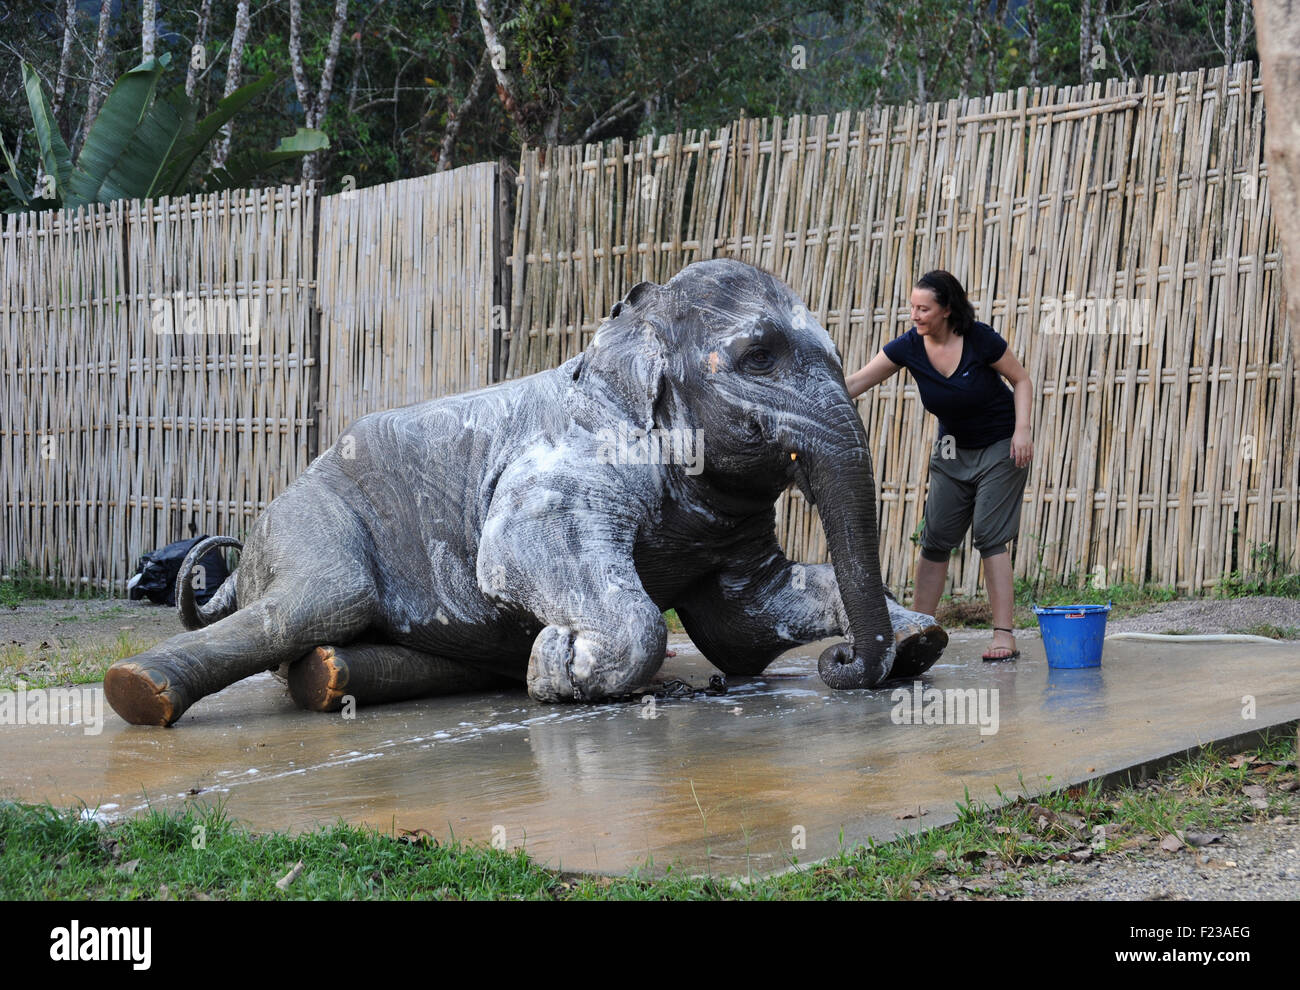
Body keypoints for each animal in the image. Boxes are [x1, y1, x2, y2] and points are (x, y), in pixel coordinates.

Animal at [104, 258, 948, 727]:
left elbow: (741, 621)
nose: (843, 661)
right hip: (308, 516)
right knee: (326, 600)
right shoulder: (563, 467)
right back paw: (140, 692)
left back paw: (334, 678)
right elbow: (519, 557)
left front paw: (920, 643)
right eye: (760, 357)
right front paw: (563, 670)